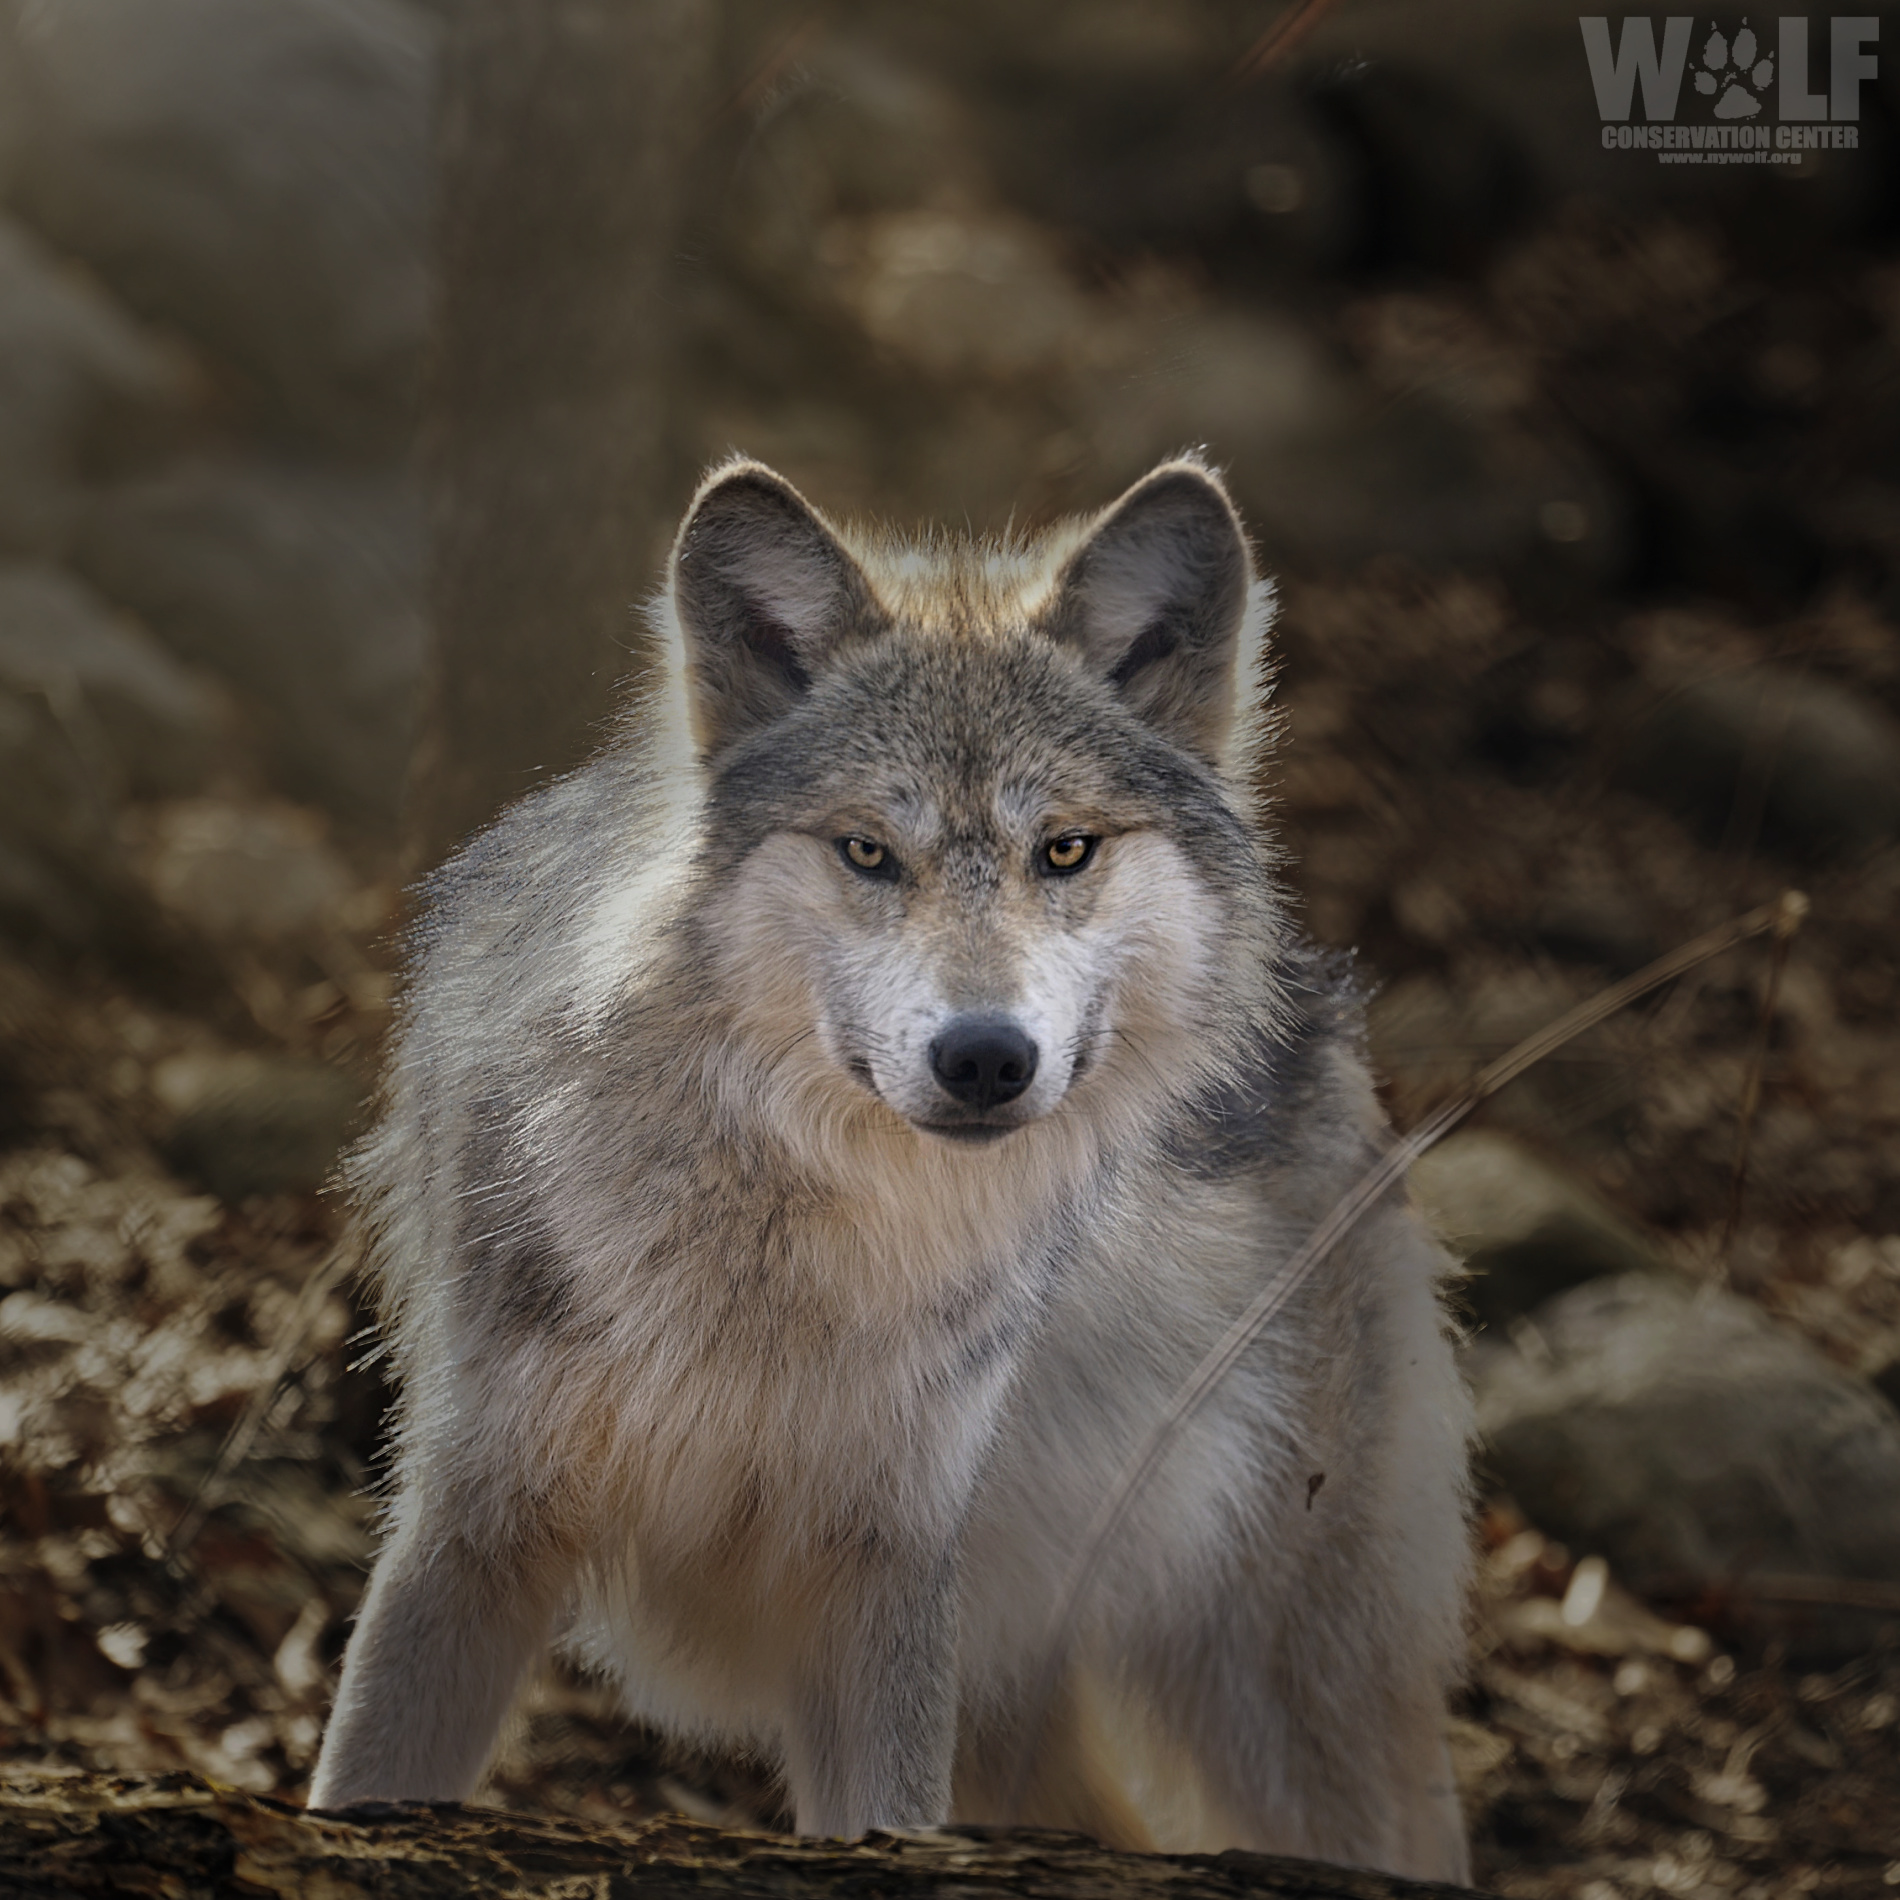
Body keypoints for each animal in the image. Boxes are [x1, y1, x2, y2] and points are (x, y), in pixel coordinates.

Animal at [306, 453, 1473, 1881]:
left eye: (1064, 850)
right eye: (868, 850)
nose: (984, 1057)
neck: (778, 1268)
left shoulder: (893, 1581)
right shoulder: (469, 1533)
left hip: (1278, 1692)